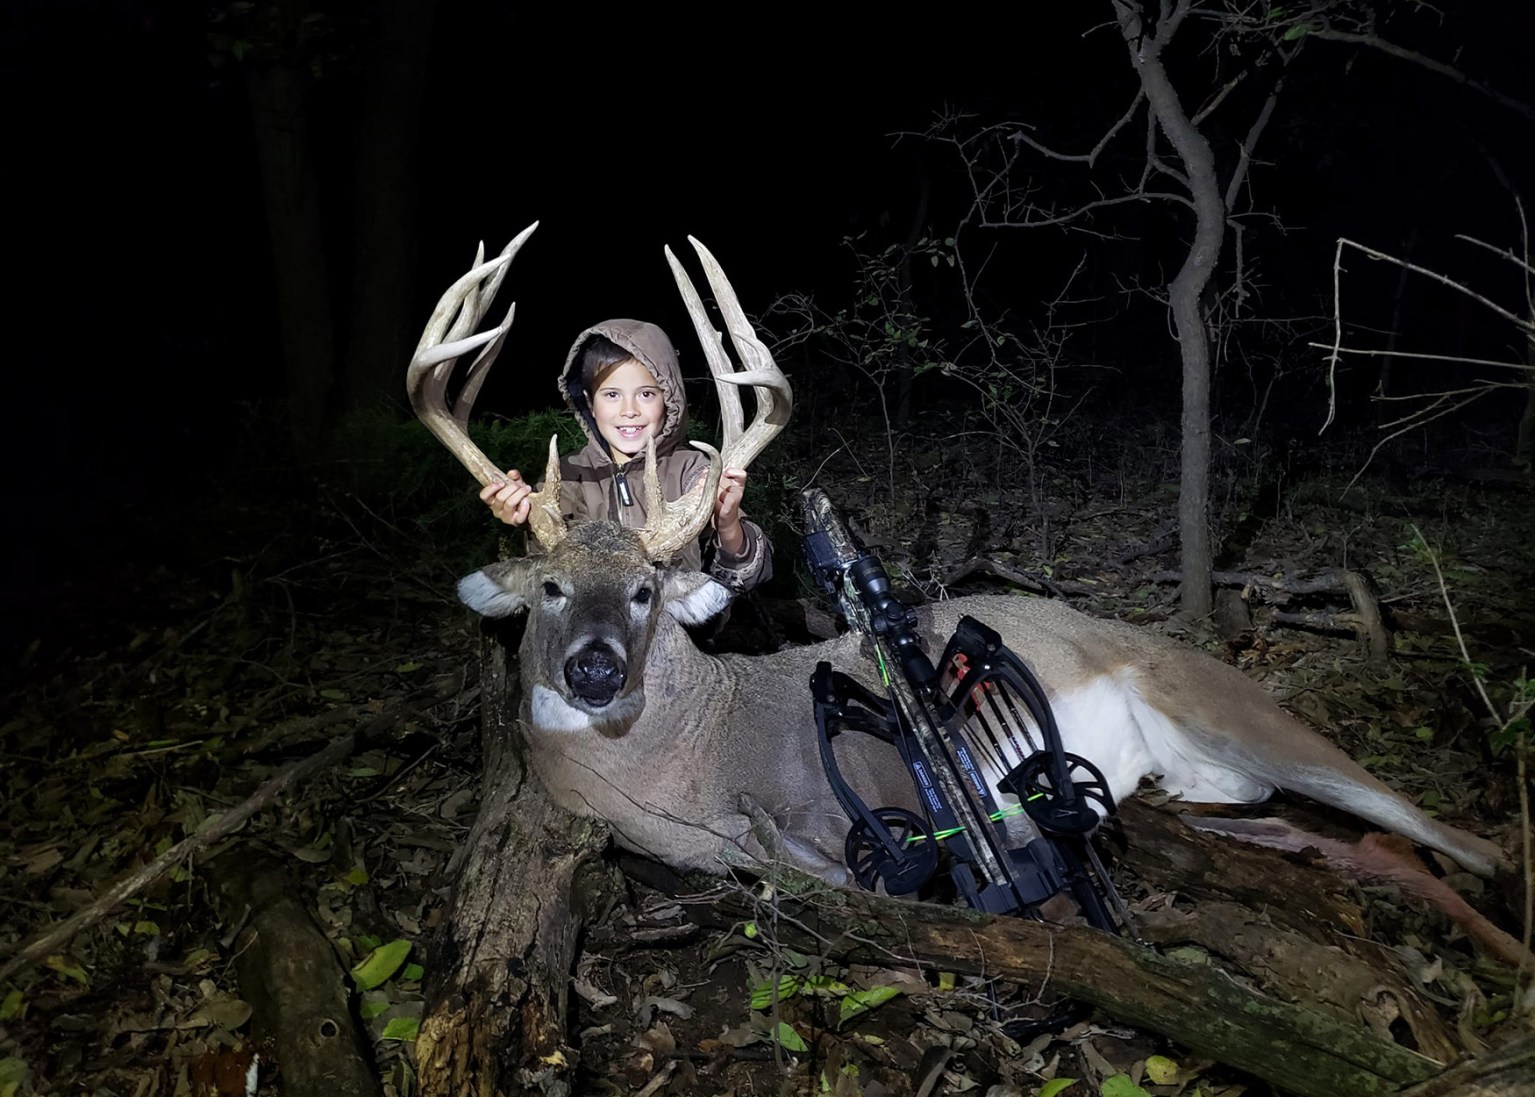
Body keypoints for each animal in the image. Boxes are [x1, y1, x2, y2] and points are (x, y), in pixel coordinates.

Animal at [407, 223, 1508, 891]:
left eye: (643, 590)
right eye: (549, 587)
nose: (594, 668)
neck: (690, 769)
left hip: (1230, 705)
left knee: (1445, 833)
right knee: (1260, 808)